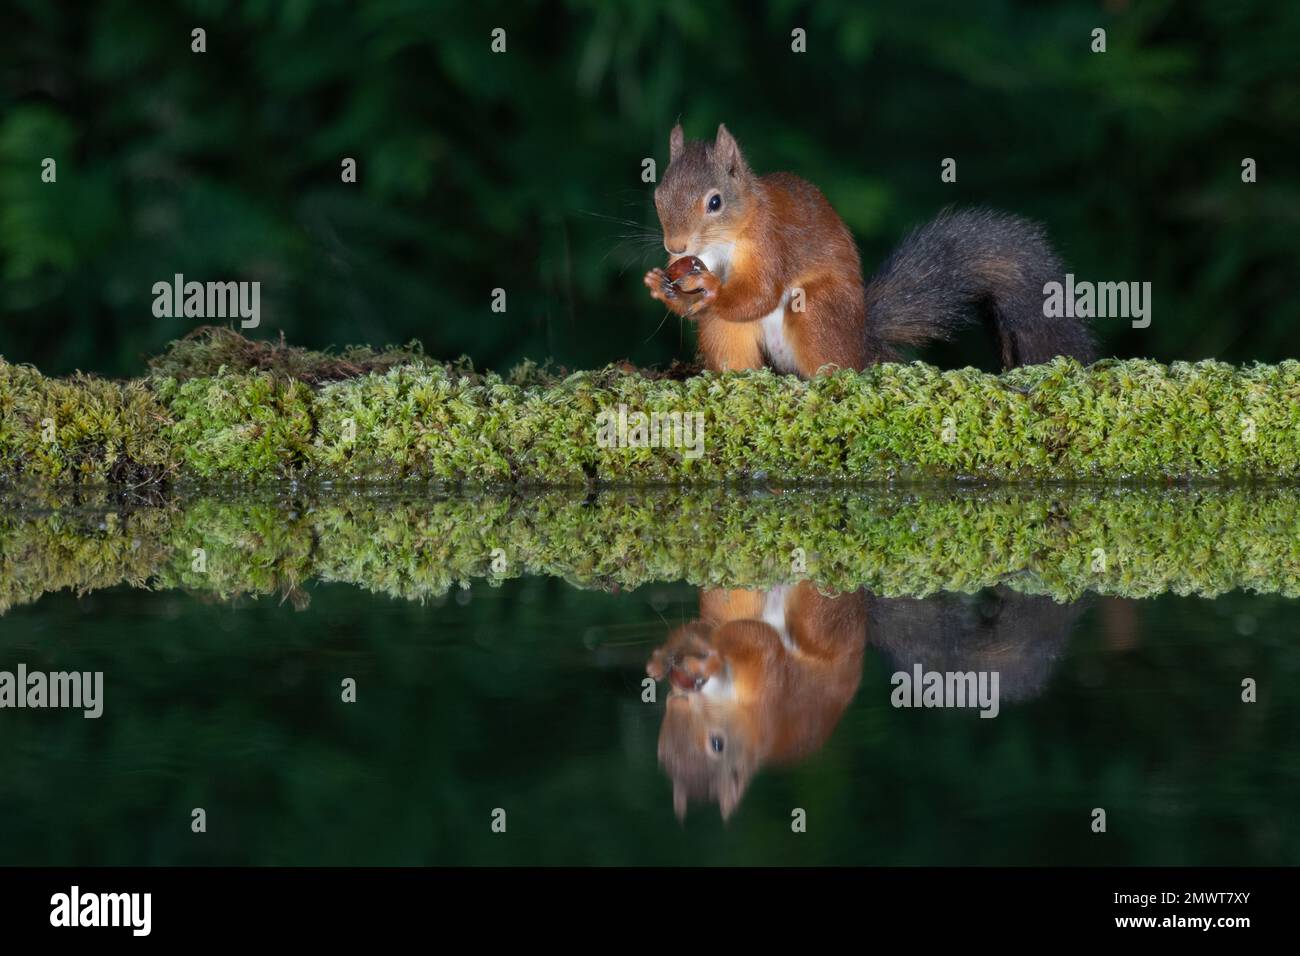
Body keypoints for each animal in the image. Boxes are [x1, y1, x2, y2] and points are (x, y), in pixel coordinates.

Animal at [644, 123, 1095, 376]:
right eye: (658, 195)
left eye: (715, 202)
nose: (675, 245)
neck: (723, 242)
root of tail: (862, 343)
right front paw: (661, 286)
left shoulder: (774, 243)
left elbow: (760, 292)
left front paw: (712, 288)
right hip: (726, 334)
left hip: (818, 311)